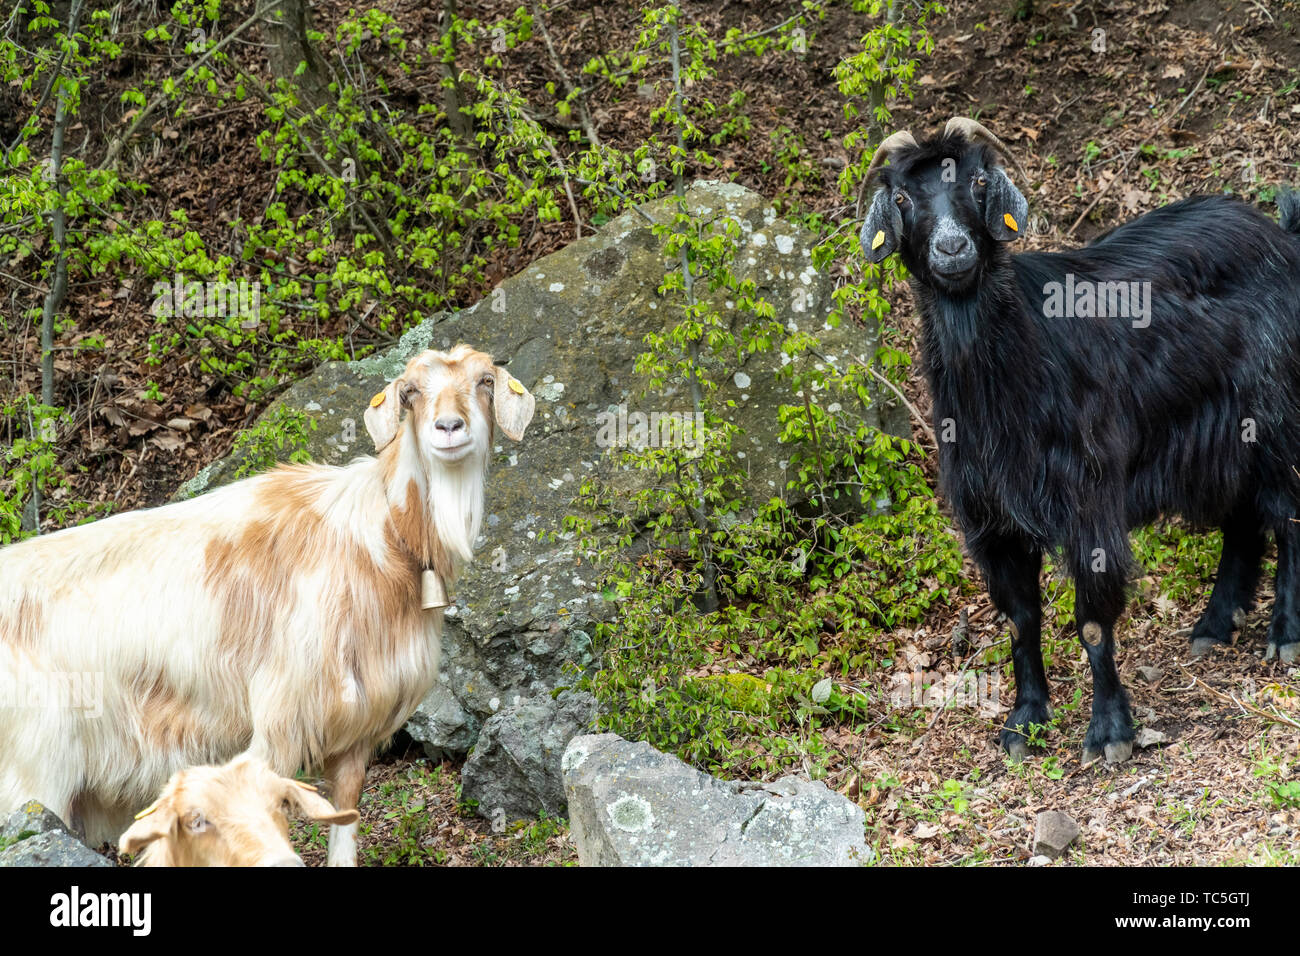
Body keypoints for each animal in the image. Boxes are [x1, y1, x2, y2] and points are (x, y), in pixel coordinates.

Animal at [860, 119, 1300, 764]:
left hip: (1276, 414)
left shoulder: (1087, 500)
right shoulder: (992, 518)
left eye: (980, 181)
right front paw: (1024, 723)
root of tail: (1282, 236)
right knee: (1243, 518)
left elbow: (1092, 622)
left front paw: (1110, 733)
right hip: (1221, 436)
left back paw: (1284, 634)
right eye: (902, 198)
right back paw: (1214, 626)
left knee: (1288, 515)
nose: (952, 249)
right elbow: (1020, 620)